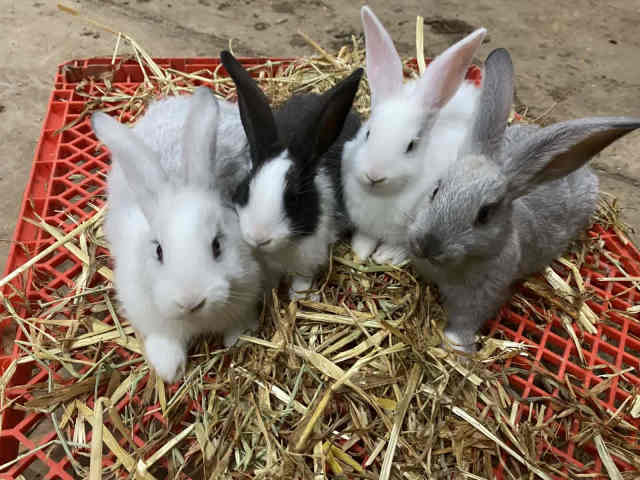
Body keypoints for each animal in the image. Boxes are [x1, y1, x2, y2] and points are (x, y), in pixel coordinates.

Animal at [91, 86, 263, 383]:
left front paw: (235, 339)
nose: (191, 301)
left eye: (217, 245)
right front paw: (169, 370)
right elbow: (165, 342)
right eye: (158, 250)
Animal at [220, 50, 363, 299]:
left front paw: (300, 295)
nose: (258, 238)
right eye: (245, 189)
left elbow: (302, 279)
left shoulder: (310, 257)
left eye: (294, 199)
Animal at [342, 5, 486, 266]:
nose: (374, 175)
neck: (382, 196)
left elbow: (403, 246)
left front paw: (387, 256)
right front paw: (360, 250)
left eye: (411, 145)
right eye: (368, 133)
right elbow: (366, 237)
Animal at [407, 47, 640, 352]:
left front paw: (456, 346)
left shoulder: (482, 297)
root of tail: (588, 173)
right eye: (436, 190)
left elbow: (464, 323)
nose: (426, 245)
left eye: (485, 214)